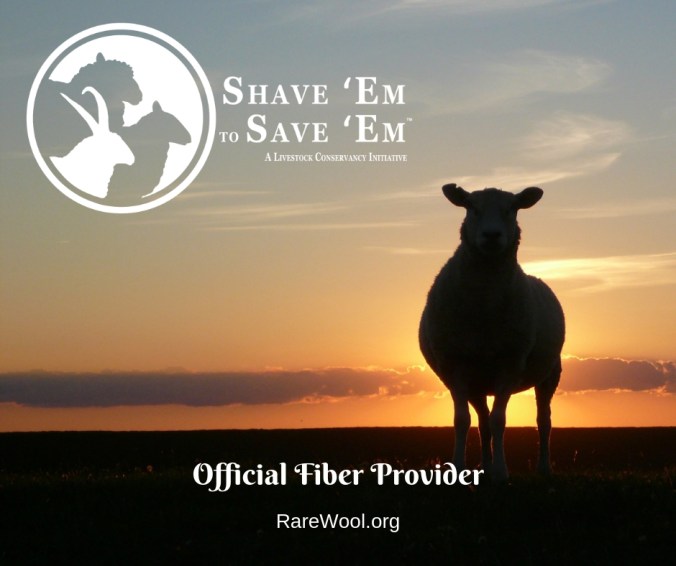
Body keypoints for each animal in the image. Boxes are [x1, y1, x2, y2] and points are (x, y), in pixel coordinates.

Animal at [419, 183, 565, 481]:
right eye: (471, 207)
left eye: (513, 208)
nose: (492, 235)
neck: (483, 304)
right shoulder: (455, 365)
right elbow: (462, 421)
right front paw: (459, 467)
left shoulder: (509, 363)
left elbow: (500, 420)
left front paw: (500, 472)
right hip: (477, 382)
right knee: (482, 422)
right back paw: (483, 466)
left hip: (550, 374)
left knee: (543, 420)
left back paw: (544, 468)